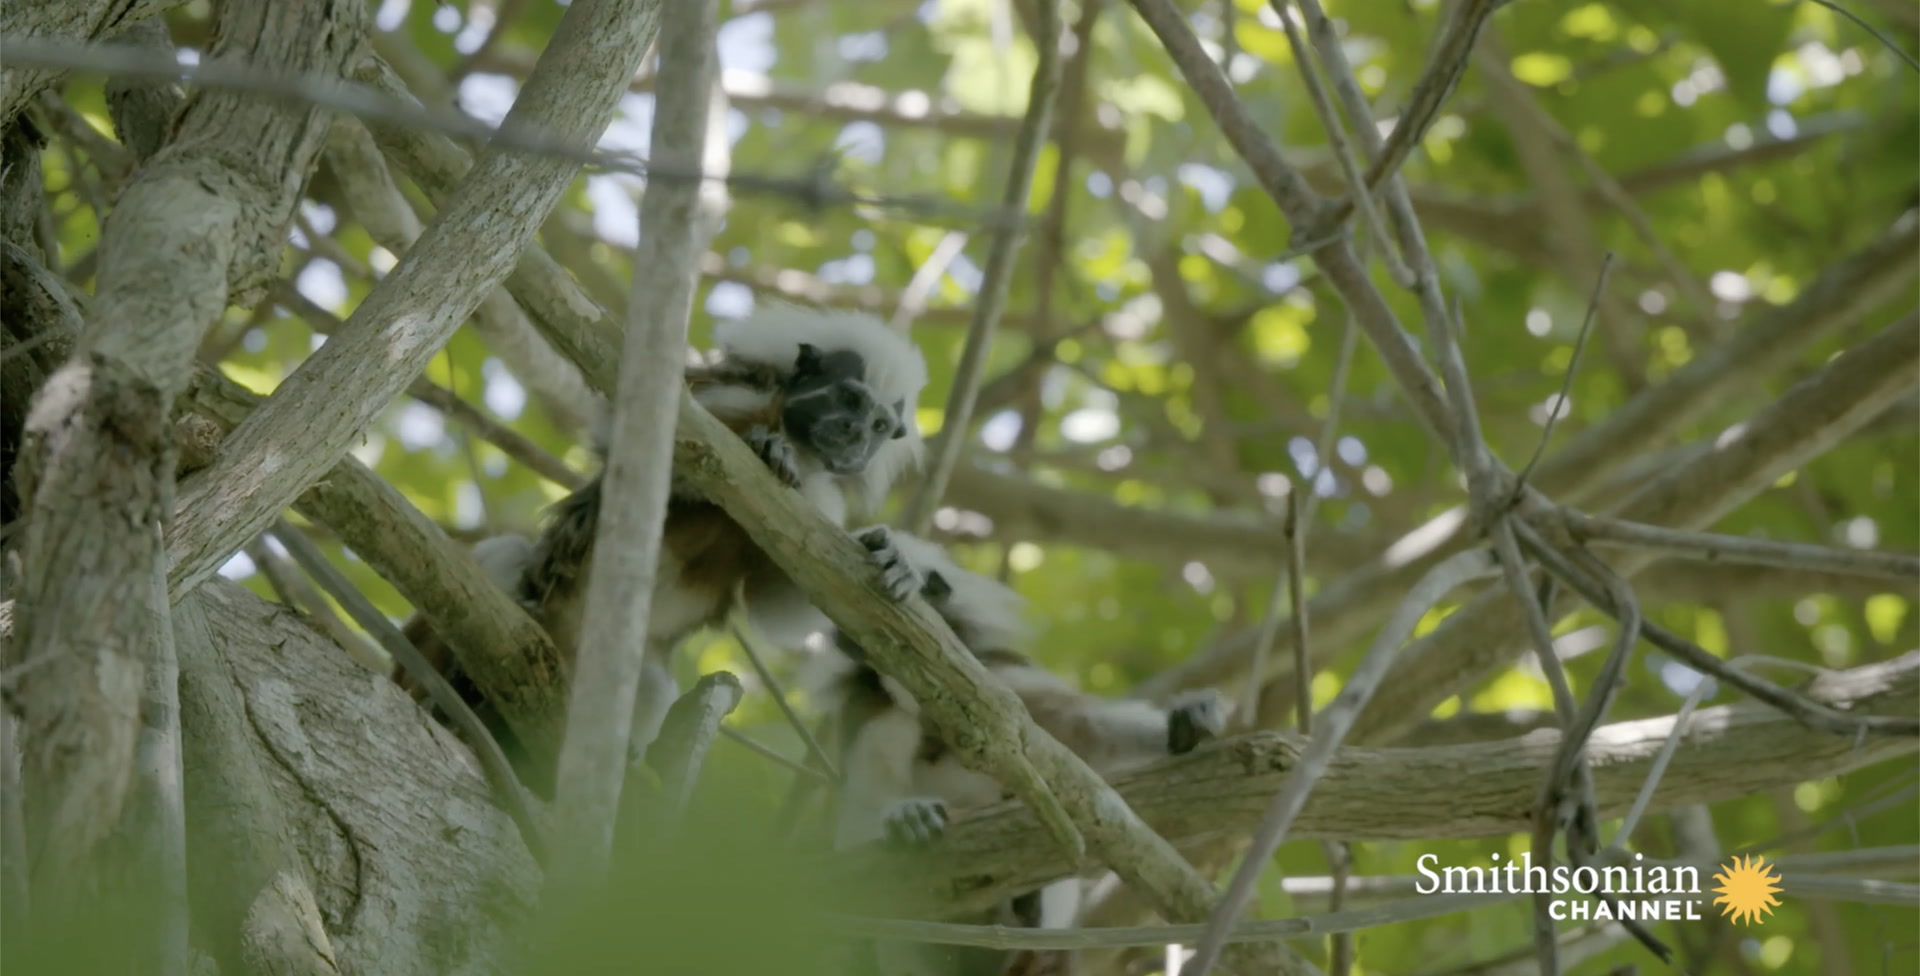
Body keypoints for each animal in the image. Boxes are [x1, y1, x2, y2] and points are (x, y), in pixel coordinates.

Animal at [396, 303, 929, 796]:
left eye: (879, 425)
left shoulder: (816, 499)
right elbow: (648, 452)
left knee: (651, 685)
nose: (854, 436)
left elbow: (780, 600)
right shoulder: (729, 398)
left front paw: (893, 556)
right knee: (506, 557)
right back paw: (456, 685)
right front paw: (766, 446)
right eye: (849, 398)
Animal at [812, 527, 1229, 976]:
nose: (850, 638)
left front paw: (1184, 726)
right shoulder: (867, 708)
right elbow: (855, 830)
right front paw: (905, 816)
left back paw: (1028, 909)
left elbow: (1078, 739)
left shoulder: (999, 674)